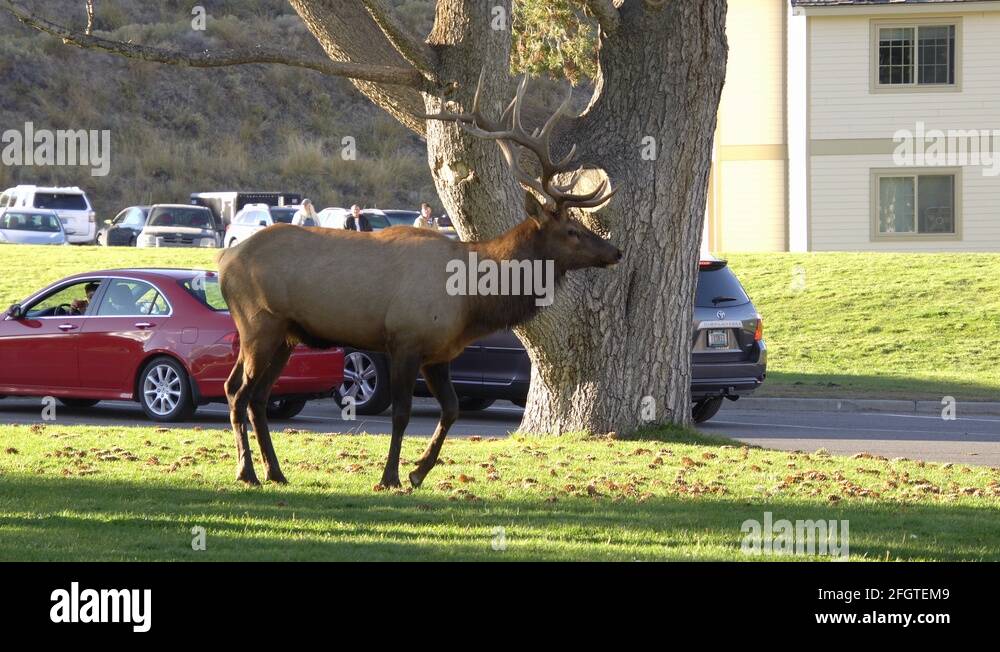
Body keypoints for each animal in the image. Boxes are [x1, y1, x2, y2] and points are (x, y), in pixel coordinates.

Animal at [217, 72, 622, 489]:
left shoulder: (438, 353)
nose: (616, 251)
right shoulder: (405, 339)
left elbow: (452, 409)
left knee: (257, 395)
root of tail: (224, 258)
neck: (472, 301)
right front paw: (390, 476)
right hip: (258, 325)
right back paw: (247, 472)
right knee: (237, 392)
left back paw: (275, 472)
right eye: (572, 230)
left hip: (285, 334)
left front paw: (417, 471)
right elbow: (402, 412)